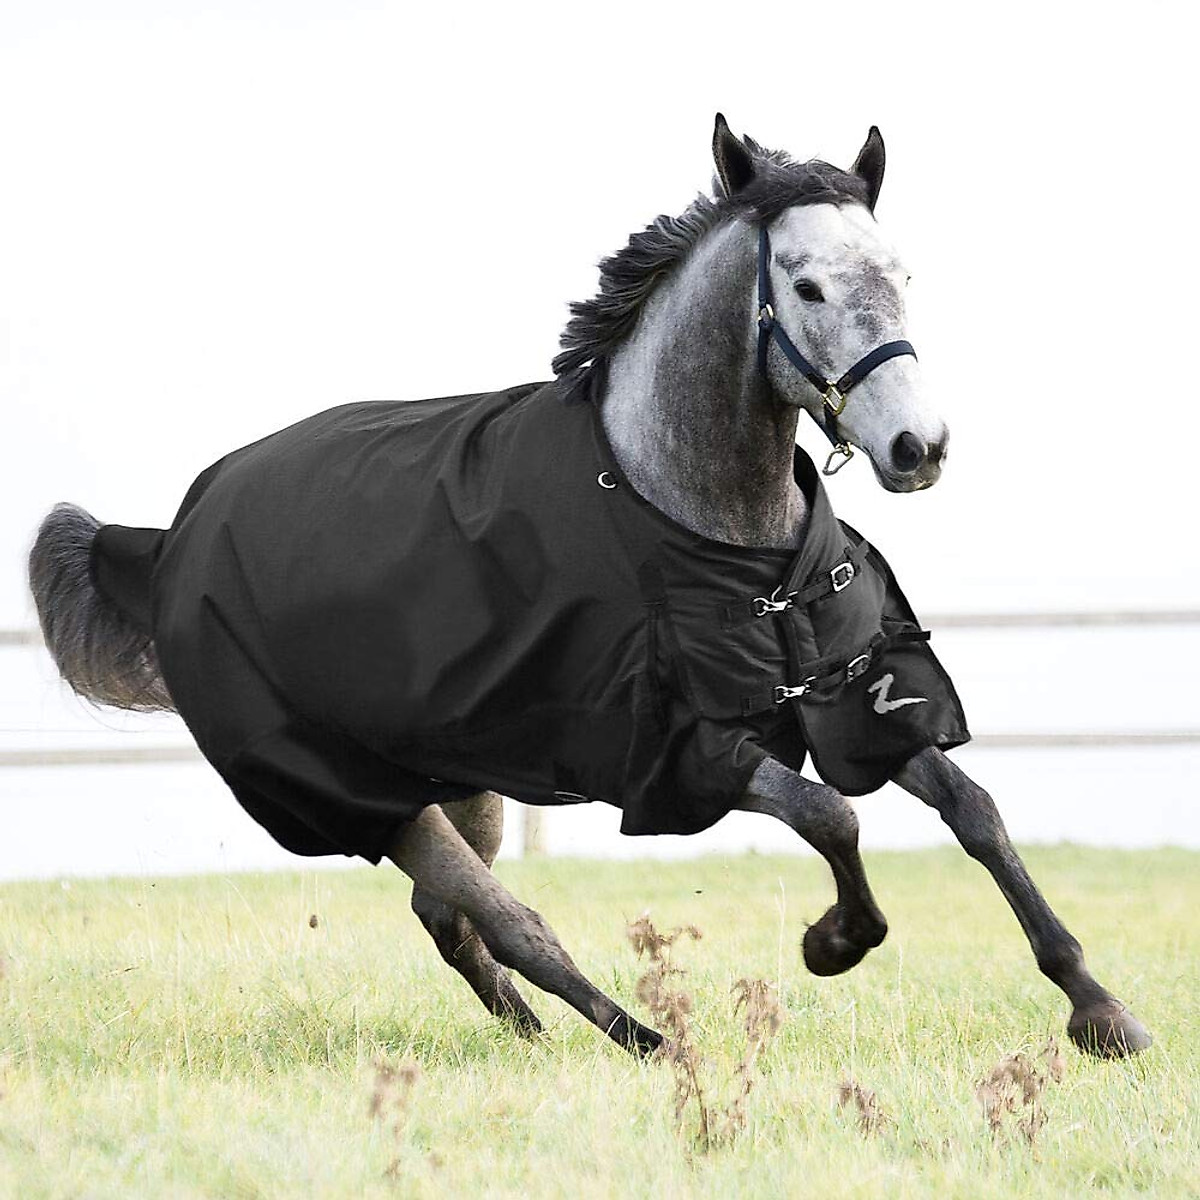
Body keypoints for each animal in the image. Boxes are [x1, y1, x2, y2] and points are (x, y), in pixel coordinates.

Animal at [28, 115, 1150, 1060]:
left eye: (904, 273)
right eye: (806, 286)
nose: (920, 448)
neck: (704, 524)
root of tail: (170, 538)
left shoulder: (846, 698)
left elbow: (973, 809)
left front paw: (1100, 1012)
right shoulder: (686, 748)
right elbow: (833, 816)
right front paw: (833, 942)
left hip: (459, 776)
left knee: (452, 920)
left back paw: (536, 1039)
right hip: (371, 796)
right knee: (511, 922)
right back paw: (647, 1044)